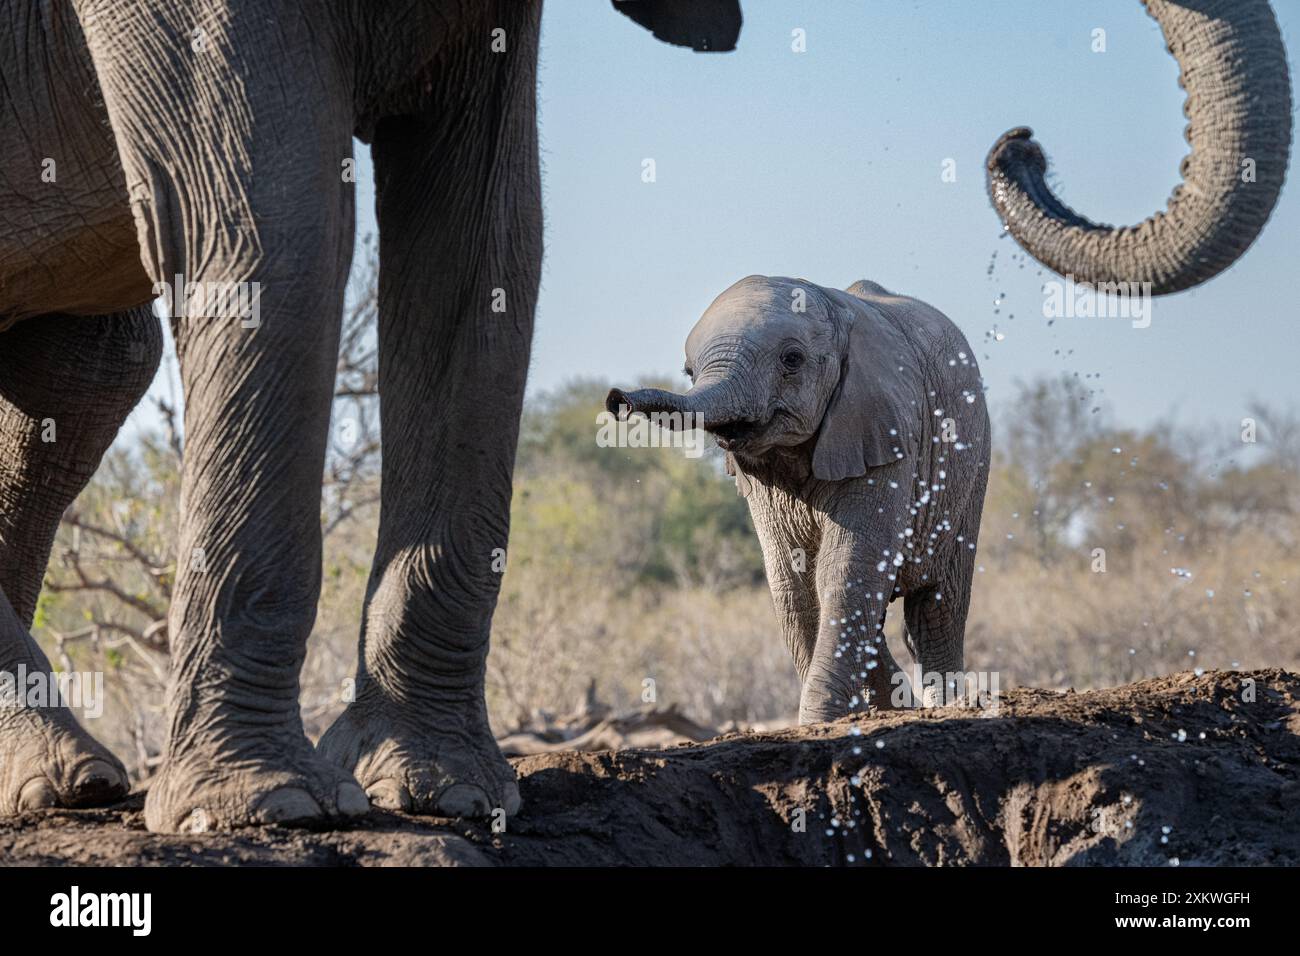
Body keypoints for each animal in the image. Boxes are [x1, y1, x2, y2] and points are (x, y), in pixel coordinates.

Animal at [606, 276, 990, 723]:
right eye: (688, 371)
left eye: (792, 359)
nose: (616, 400)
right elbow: (794, 582)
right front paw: (847, 718)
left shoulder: (888, 430)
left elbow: (845, 570)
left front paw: (821, 721)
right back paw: (896, 706)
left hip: (971, 467)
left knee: (937, 604)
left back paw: (946, 705)